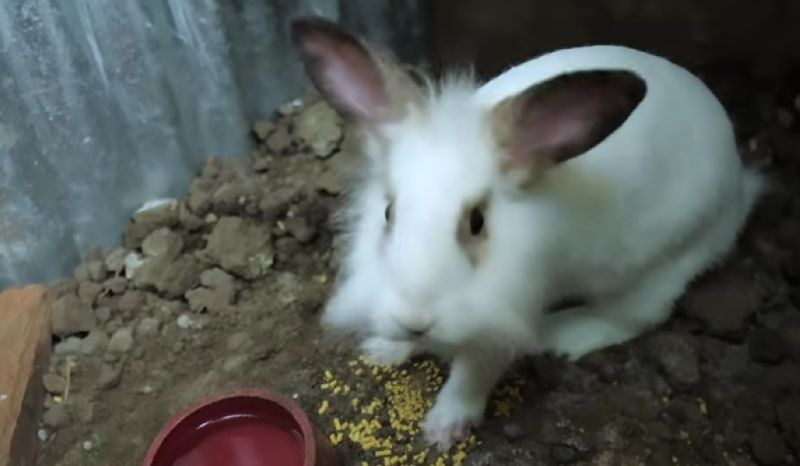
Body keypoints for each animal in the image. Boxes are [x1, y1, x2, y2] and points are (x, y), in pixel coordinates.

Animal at [290, 16, 764, 449]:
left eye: (477, 222)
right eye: (389, 212)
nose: (415, 319)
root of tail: (739, 187)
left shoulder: (503, 316)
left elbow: (473, 373)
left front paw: (444, 428)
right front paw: (385, 349)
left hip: (660, 268)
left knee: (636, 316)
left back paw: (564, 335)